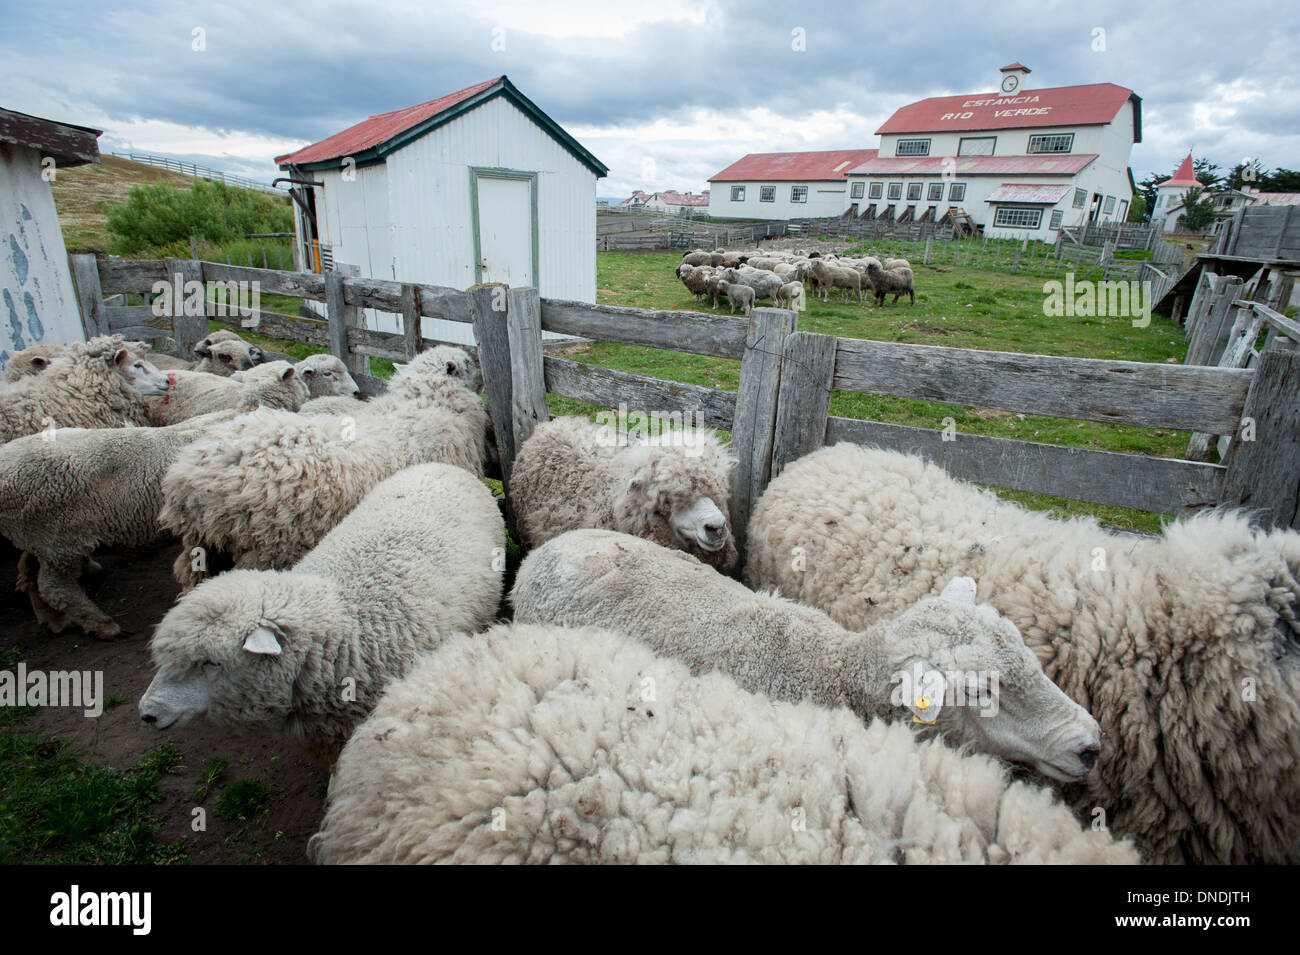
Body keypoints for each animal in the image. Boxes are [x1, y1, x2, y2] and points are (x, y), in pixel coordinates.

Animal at [0, 412, 236, 638]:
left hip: (39, 537)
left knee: (30, 571)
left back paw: (54, 620)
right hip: (59, 539)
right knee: (55, 586)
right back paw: (102, 625)